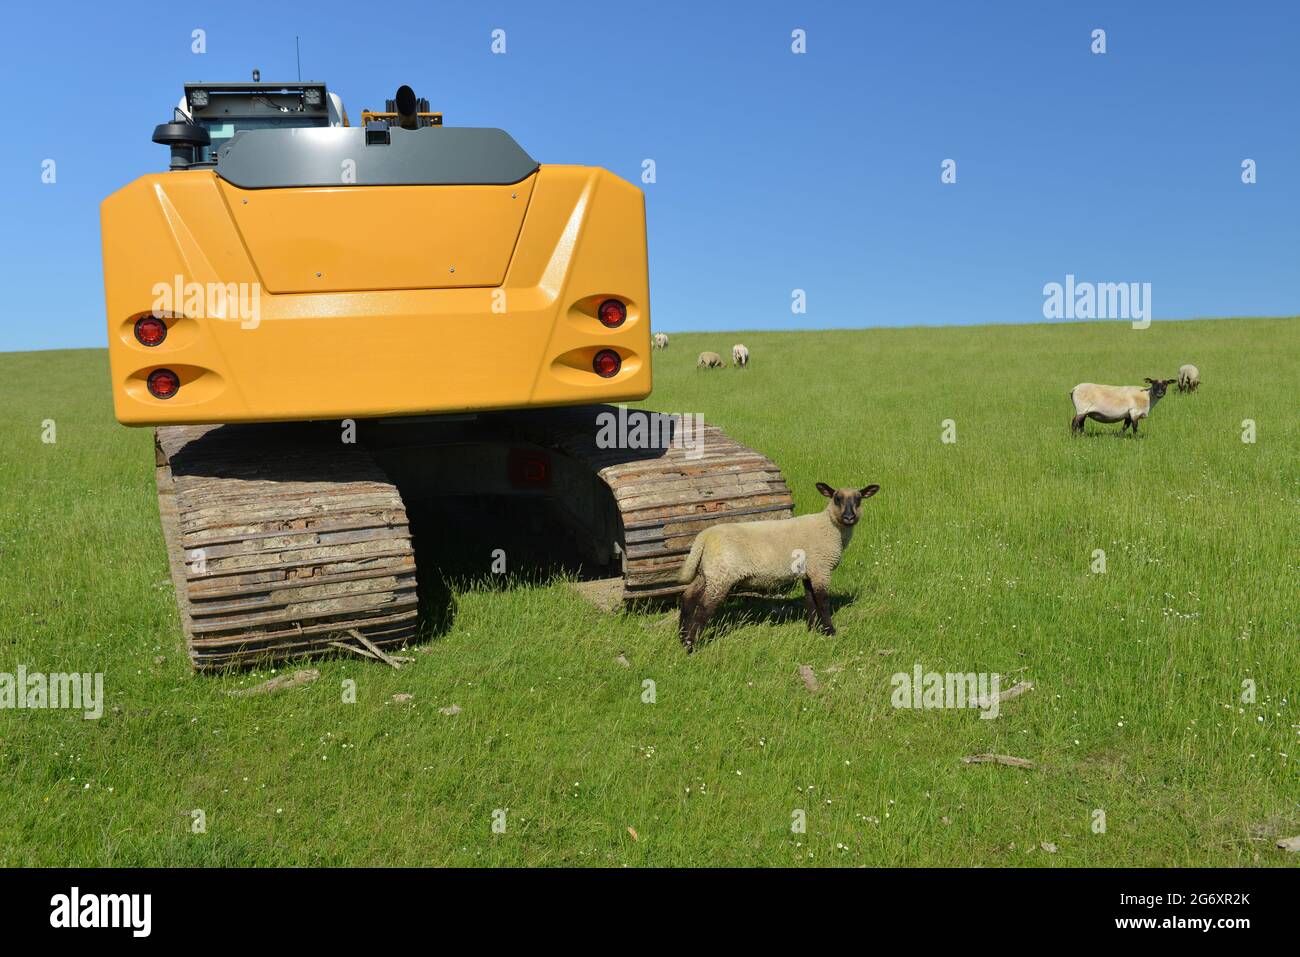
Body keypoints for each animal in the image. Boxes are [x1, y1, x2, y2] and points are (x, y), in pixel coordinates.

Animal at [676, 482, 880, 651]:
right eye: (837, 498)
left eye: (859, 499)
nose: (849, 517)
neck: (830, 527)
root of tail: (703, 537)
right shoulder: (820, 569)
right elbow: (822, 601)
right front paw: (830, 631)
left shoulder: (808, 572)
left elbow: (810, 601)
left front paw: (813, 629)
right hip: (721, 575)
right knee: (703, 608)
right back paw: (690, 646)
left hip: (708, 572)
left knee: (687, 597)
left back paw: (682, 637)